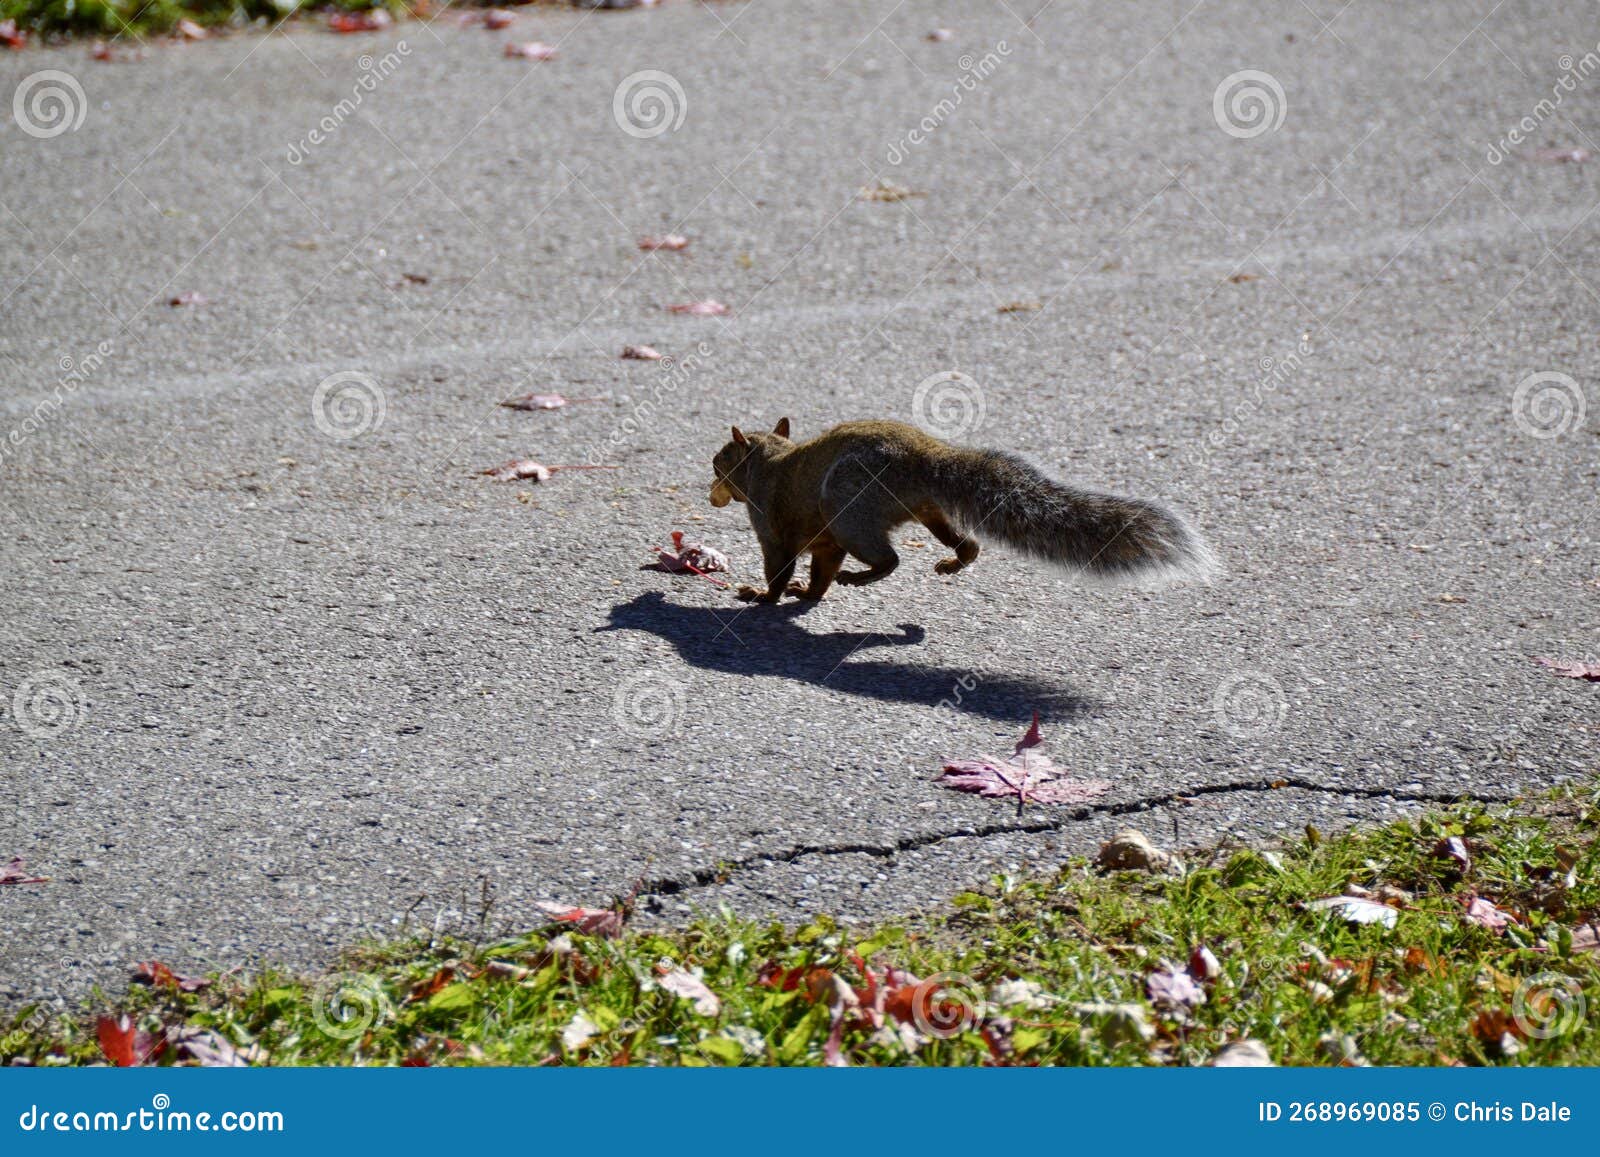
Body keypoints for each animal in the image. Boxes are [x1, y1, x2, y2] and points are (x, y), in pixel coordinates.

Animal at [709, 418, 1217, 603]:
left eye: (722, 457)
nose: (711, 477)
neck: (771, 459)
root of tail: (923, 456)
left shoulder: (774, 527)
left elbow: (779, 565)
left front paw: (763, 596)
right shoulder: (825, 542)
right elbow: (820, 572)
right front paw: (808, 594)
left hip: (849, 509)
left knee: (890, 558)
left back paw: (864, 575)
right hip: (927, 510)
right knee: (968, 542)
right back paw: (954, 561)